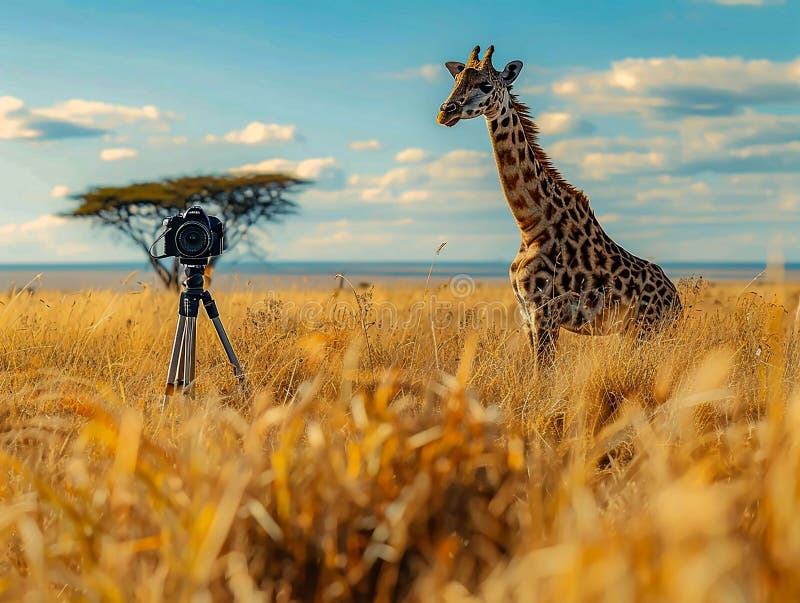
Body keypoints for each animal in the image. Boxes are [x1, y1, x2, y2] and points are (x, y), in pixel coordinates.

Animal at [437, 45, 681, 361]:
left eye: (486, 85)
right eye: (456, 81)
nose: (446, 112)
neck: (530, 224)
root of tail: (677, 300)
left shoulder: (546, 310)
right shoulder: (526, 313)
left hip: (647, 330)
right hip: (631, 332)